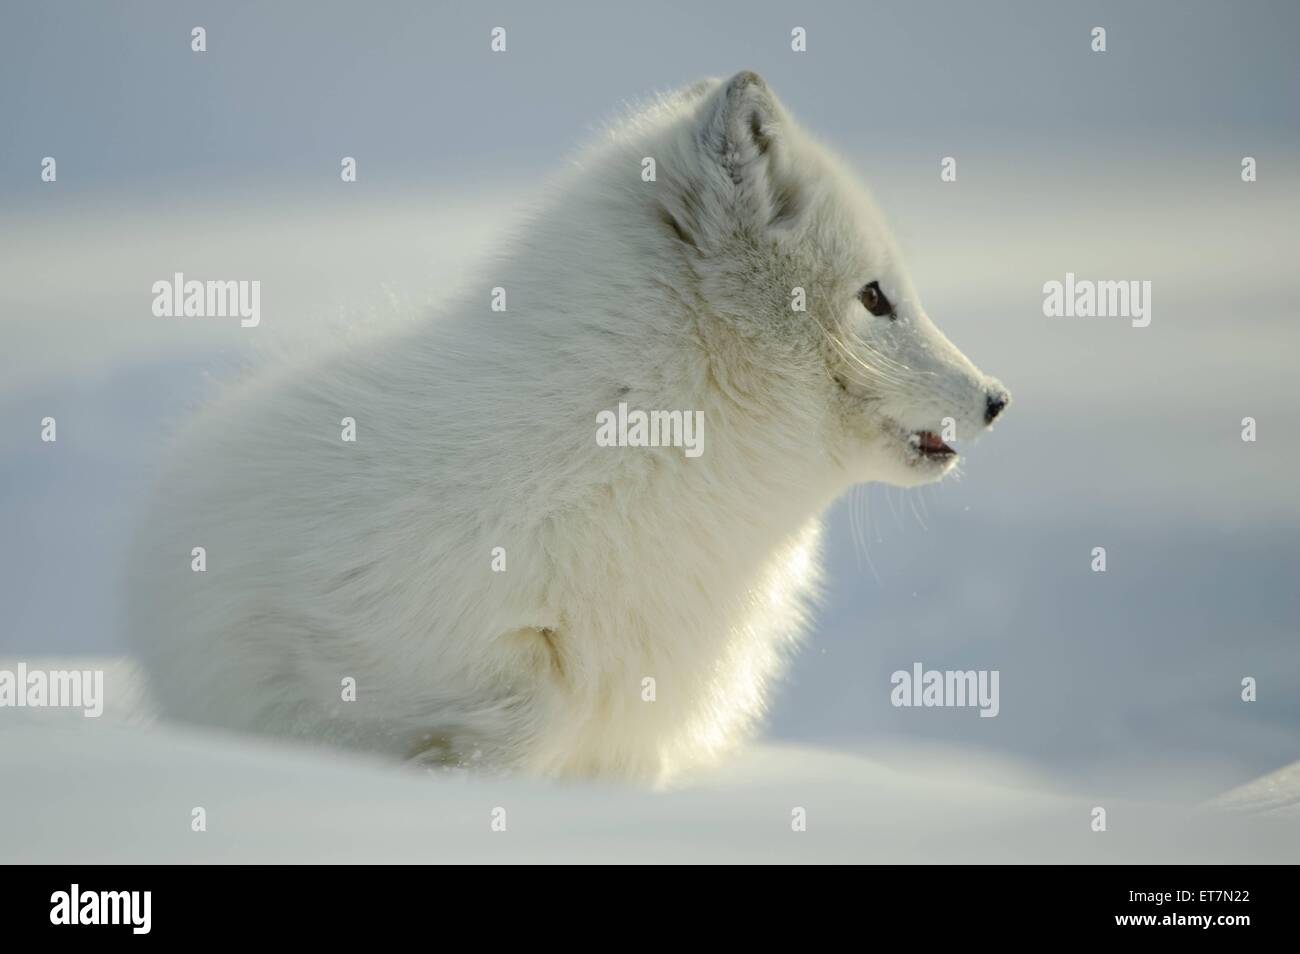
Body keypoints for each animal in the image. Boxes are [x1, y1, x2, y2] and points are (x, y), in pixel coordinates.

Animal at [127, 71, 1010, 783]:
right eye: (875, 298)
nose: (997, 399)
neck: (645, 438)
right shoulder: (332, 624)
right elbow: (534, 702)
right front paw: (456, 772)